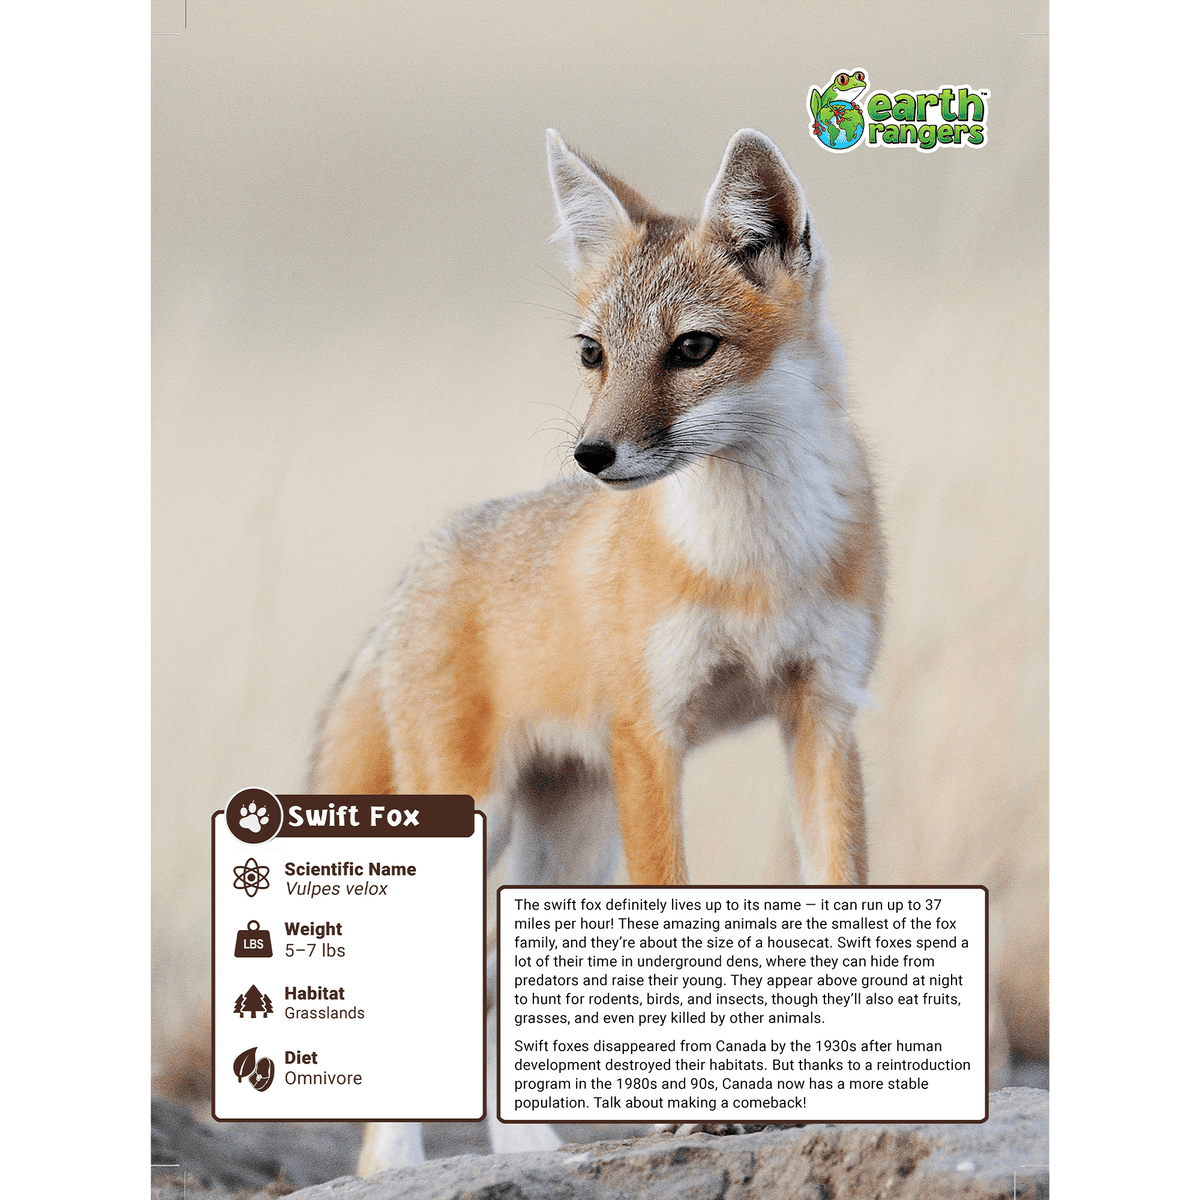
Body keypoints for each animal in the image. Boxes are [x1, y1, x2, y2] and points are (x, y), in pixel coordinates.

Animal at [311, 127, 885, 1175]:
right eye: (593, 354)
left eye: (691, 348)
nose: (591, 455)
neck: (754, 561)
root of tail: (421, 561)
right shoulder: (651, 737)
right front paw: (694, 1116)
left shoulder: (823, 712)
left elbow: (841, 884)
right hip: (481, 812)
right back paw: (395, 1162)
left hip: (571, 843)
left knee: (499, 979)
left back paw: (527, 1145)